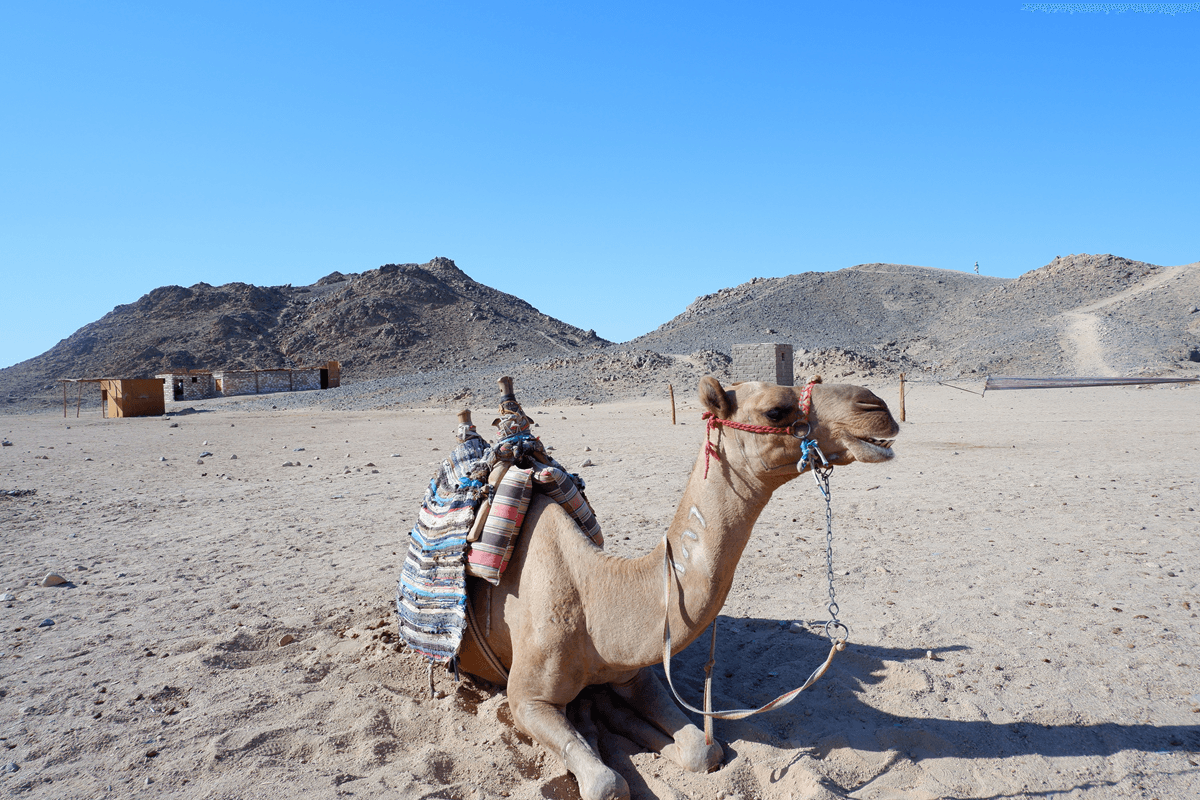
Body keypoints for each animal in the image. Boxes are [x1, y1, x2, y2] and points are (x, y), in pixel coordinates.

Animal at [453, 376, 897, 800]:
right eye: (775, 410)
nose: (877, 407)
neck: (595, 595)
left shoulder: (633, 673)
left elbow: (703, 749)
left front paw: (626, 724)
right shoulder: (526, 700)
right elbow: (607, 785)